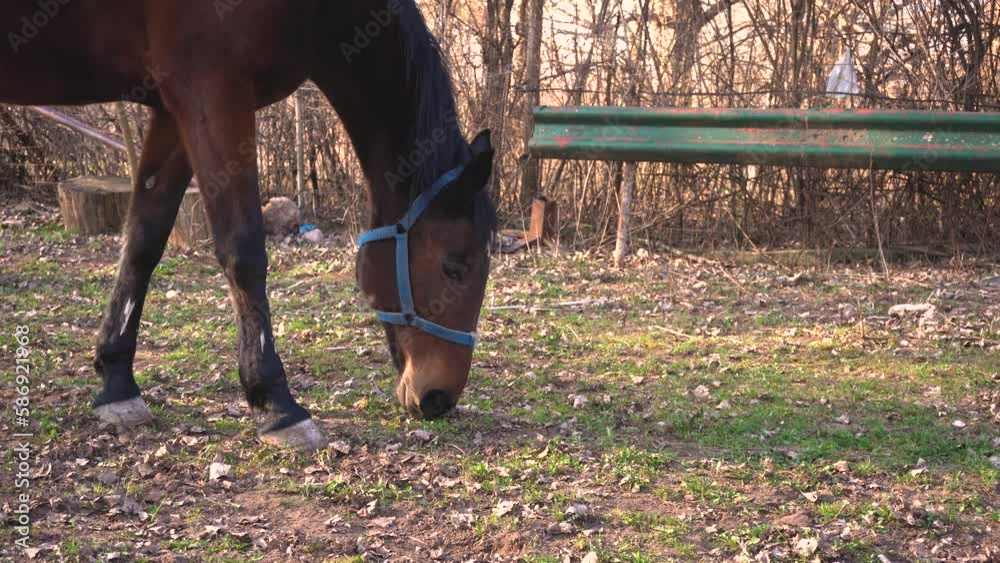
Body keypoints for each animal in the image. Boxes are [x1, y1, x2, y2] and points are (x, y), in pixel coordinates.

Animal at [0, 0, 497, 449]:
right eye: (454, 268)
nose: (439, 398)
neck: (316, 10)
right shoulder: (213, 94)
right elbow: (243, 251)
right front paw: (276, 401)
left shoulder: (171, 109)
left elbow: (143, 239)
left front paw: (117, 382)